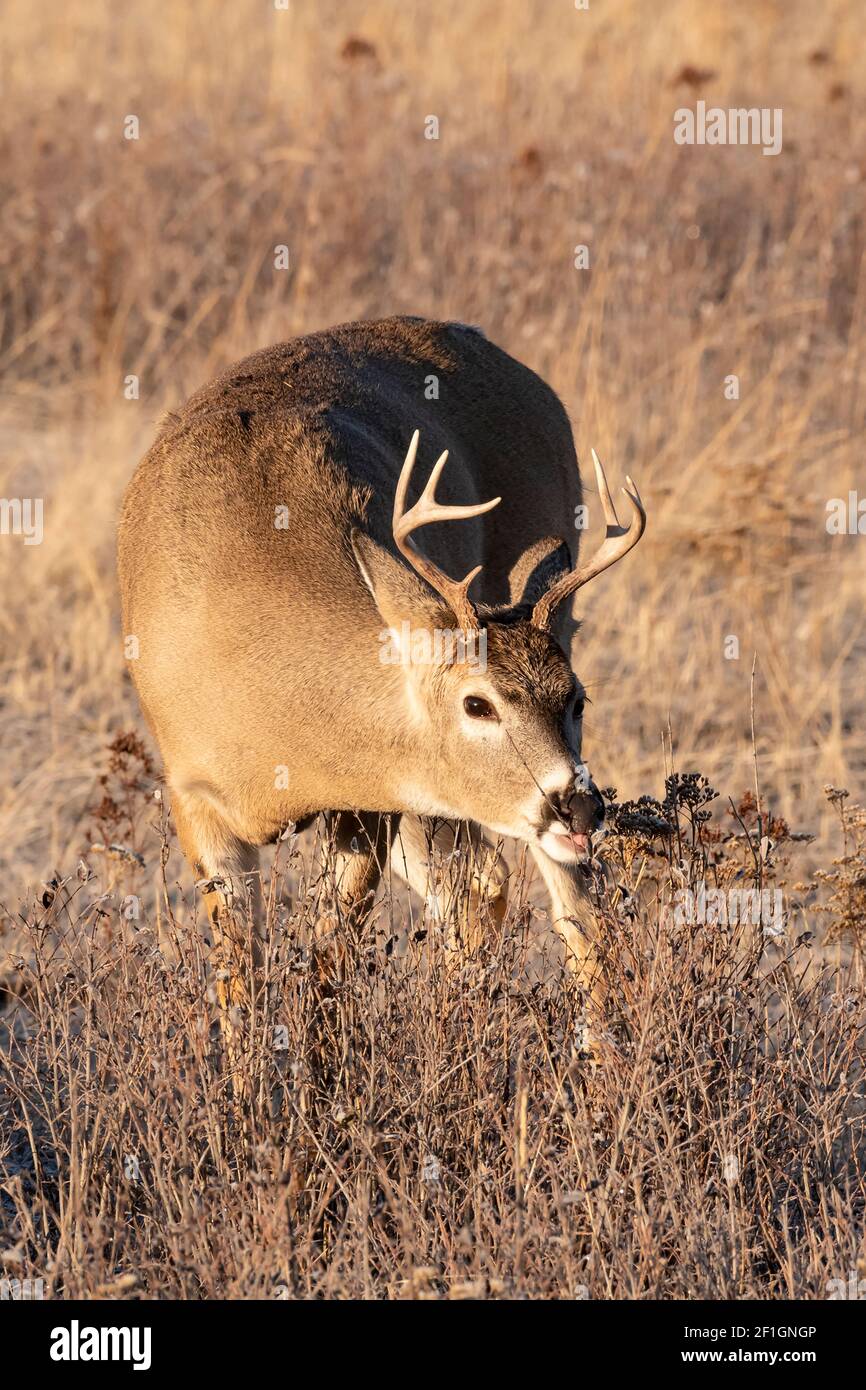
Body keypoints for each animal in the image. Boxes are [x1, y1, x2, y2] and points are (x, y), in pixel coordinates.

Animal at [117, 316, 645, 1060]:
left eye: (576, 699)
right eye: (477, 703)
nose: (577, 805)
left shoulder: (366, 800)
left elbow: (329, 964)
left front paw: (320, 1077)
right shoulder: (195, 795)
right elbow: (242, 989)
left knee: (567, 902)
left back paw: (590, 1061)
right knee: (480, 885)